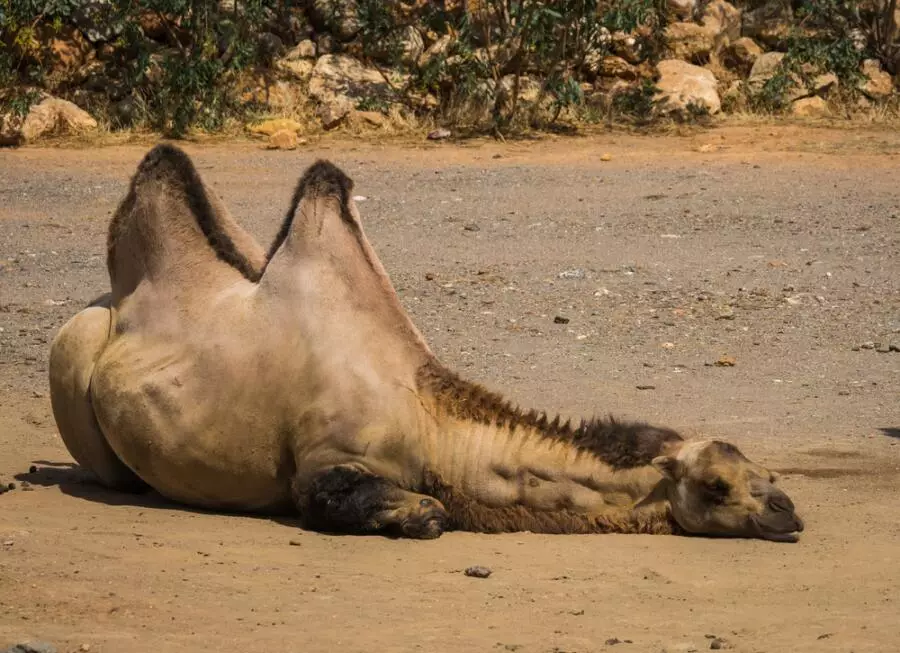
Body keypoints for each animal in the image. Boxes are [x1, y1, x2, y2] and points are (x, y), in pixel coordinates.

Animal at [47, 145, 808, 544]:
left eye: (762, 467)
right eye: (716, 485)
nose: (788, 509)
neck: (432, 423)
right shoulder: (323, 459)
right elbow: (338, 498)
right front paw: (419, 513)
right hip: (68, 352)